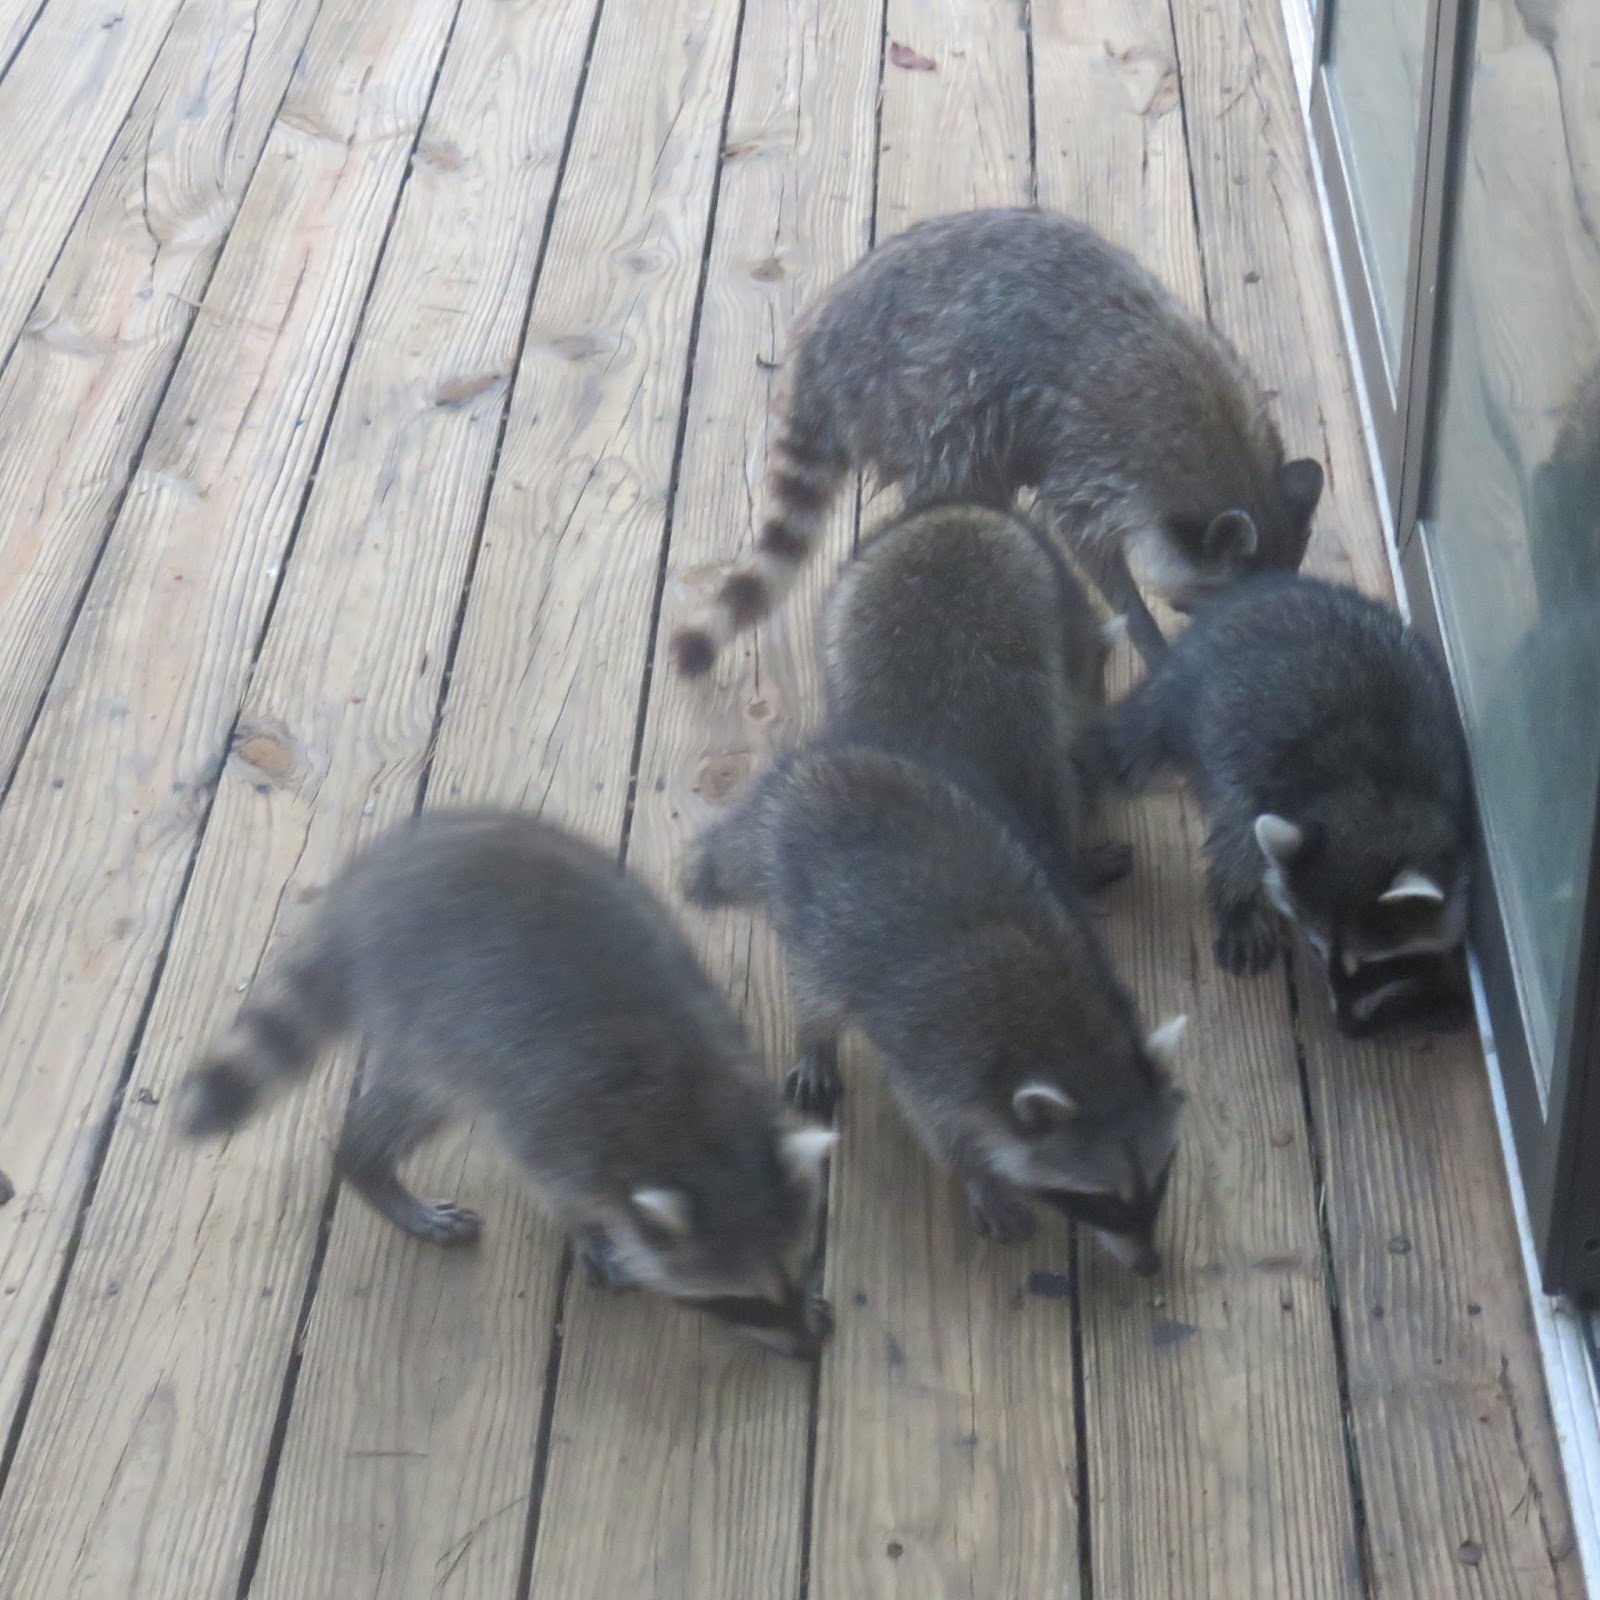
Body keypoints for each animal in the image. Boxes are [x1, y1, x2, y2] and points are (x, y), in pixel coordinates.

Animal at [177, 809, 836, 1359]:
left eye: (798, 1272)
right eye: (742, 1303)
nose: (806, 1350)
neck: (701, 1137)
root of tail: (365, 890)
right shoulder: (554, 1123)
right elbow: (557, 1186)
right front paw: (591, 1232)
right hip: (425, 1012)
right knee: (410, 1103)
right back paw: (367, 1164)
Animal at [671, 206, 1323, 676]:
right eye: (1201, 607)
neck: (1225, 456)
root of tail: (819, 349)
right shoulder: (1092, 454)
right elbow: (1091, 550)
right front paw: (1147, 633)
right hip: (917, 397)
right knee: (960, 469)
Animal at [683, 742, 1187, 1275]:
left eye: (1159, 1179)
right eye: (1102, 1201)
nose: (1149, 1264)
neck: (1076, 1044)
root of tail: (801, 777)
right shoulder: (937, 1064)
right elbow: (940, 1129)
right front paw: (981, 1178)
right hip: (806, 910)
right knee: (818, 988)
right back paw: (816, 1040)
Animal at [1094, 573, 1472, 980]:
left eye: (1365, 961)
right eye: (1316, 948)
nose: (1337, 987)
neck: (1374, 799)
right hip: (1197, 721)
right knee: (1235, 830)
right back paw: (1236, 902)